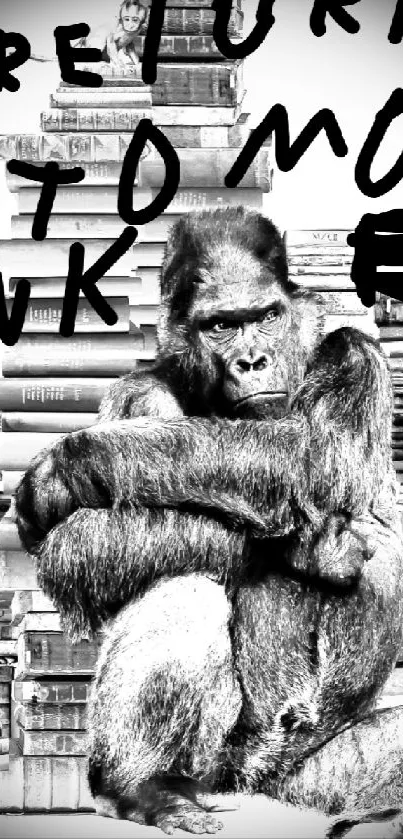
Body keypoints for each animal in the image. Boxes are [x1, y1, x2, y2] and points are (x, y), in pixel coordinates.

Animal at [15, 208, 403, 836]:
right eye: (221, 326)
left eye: (267, 317)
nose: (253, 362)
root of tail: (255, 785)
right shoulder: (139, 393)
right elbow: (88, 540)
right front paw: (71, 468)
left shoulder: (355, 356)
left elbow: (316, 454)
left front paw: (66, 466)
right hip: (215, 769)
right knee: (184, 588)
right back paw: (143, 790)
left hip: (309, 778)